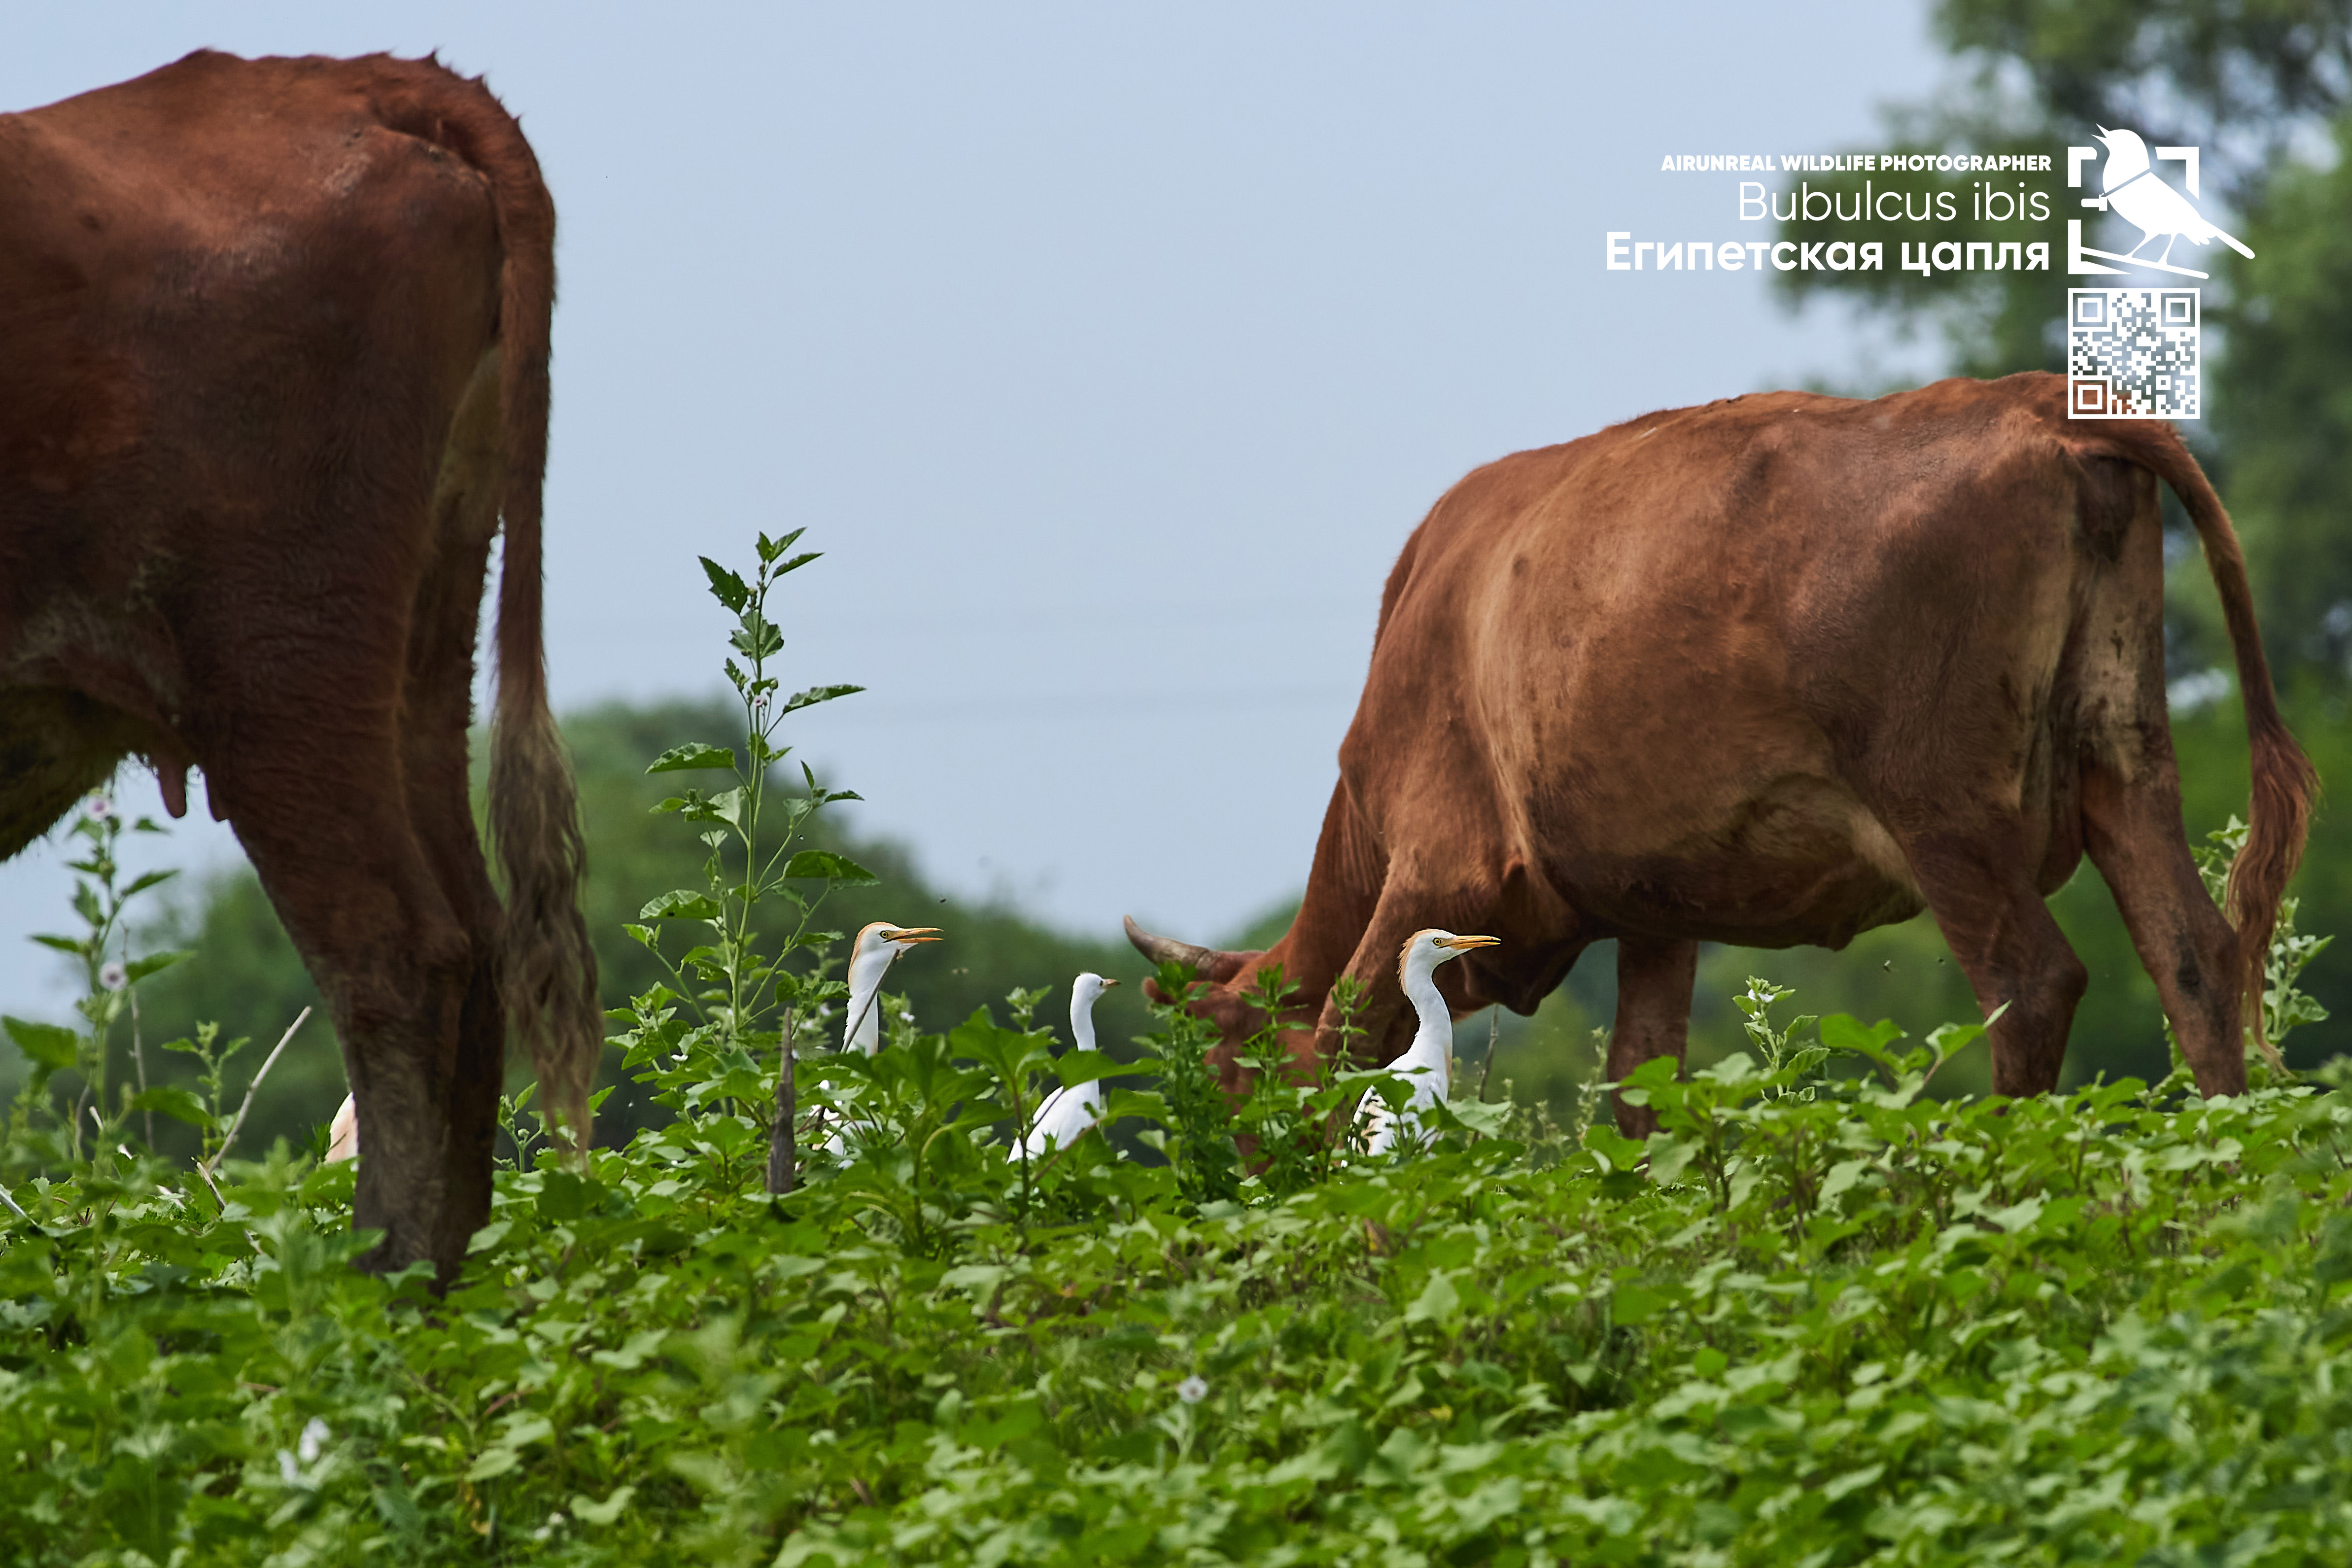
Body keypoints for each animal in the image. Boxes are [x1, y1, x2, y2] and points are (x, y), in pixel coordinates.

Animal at [0, 55, 602, 1279]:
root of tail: (367, 81)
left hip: (285, 664)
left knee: (402, 958)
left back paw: (369, 1292)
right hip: (418, 652)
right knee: (477, 945)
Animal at [1134, 371, 2314, 1128]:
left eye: (1230, 1081)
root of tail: (2036, 399)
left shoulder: (1434, 865)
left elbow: (1345, 1040)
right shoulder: (1654, 914)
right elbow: (1637, 1084)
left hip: (1943, 811)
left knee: (2032, 984)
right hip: (2124, 762)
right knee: (2195, 960)